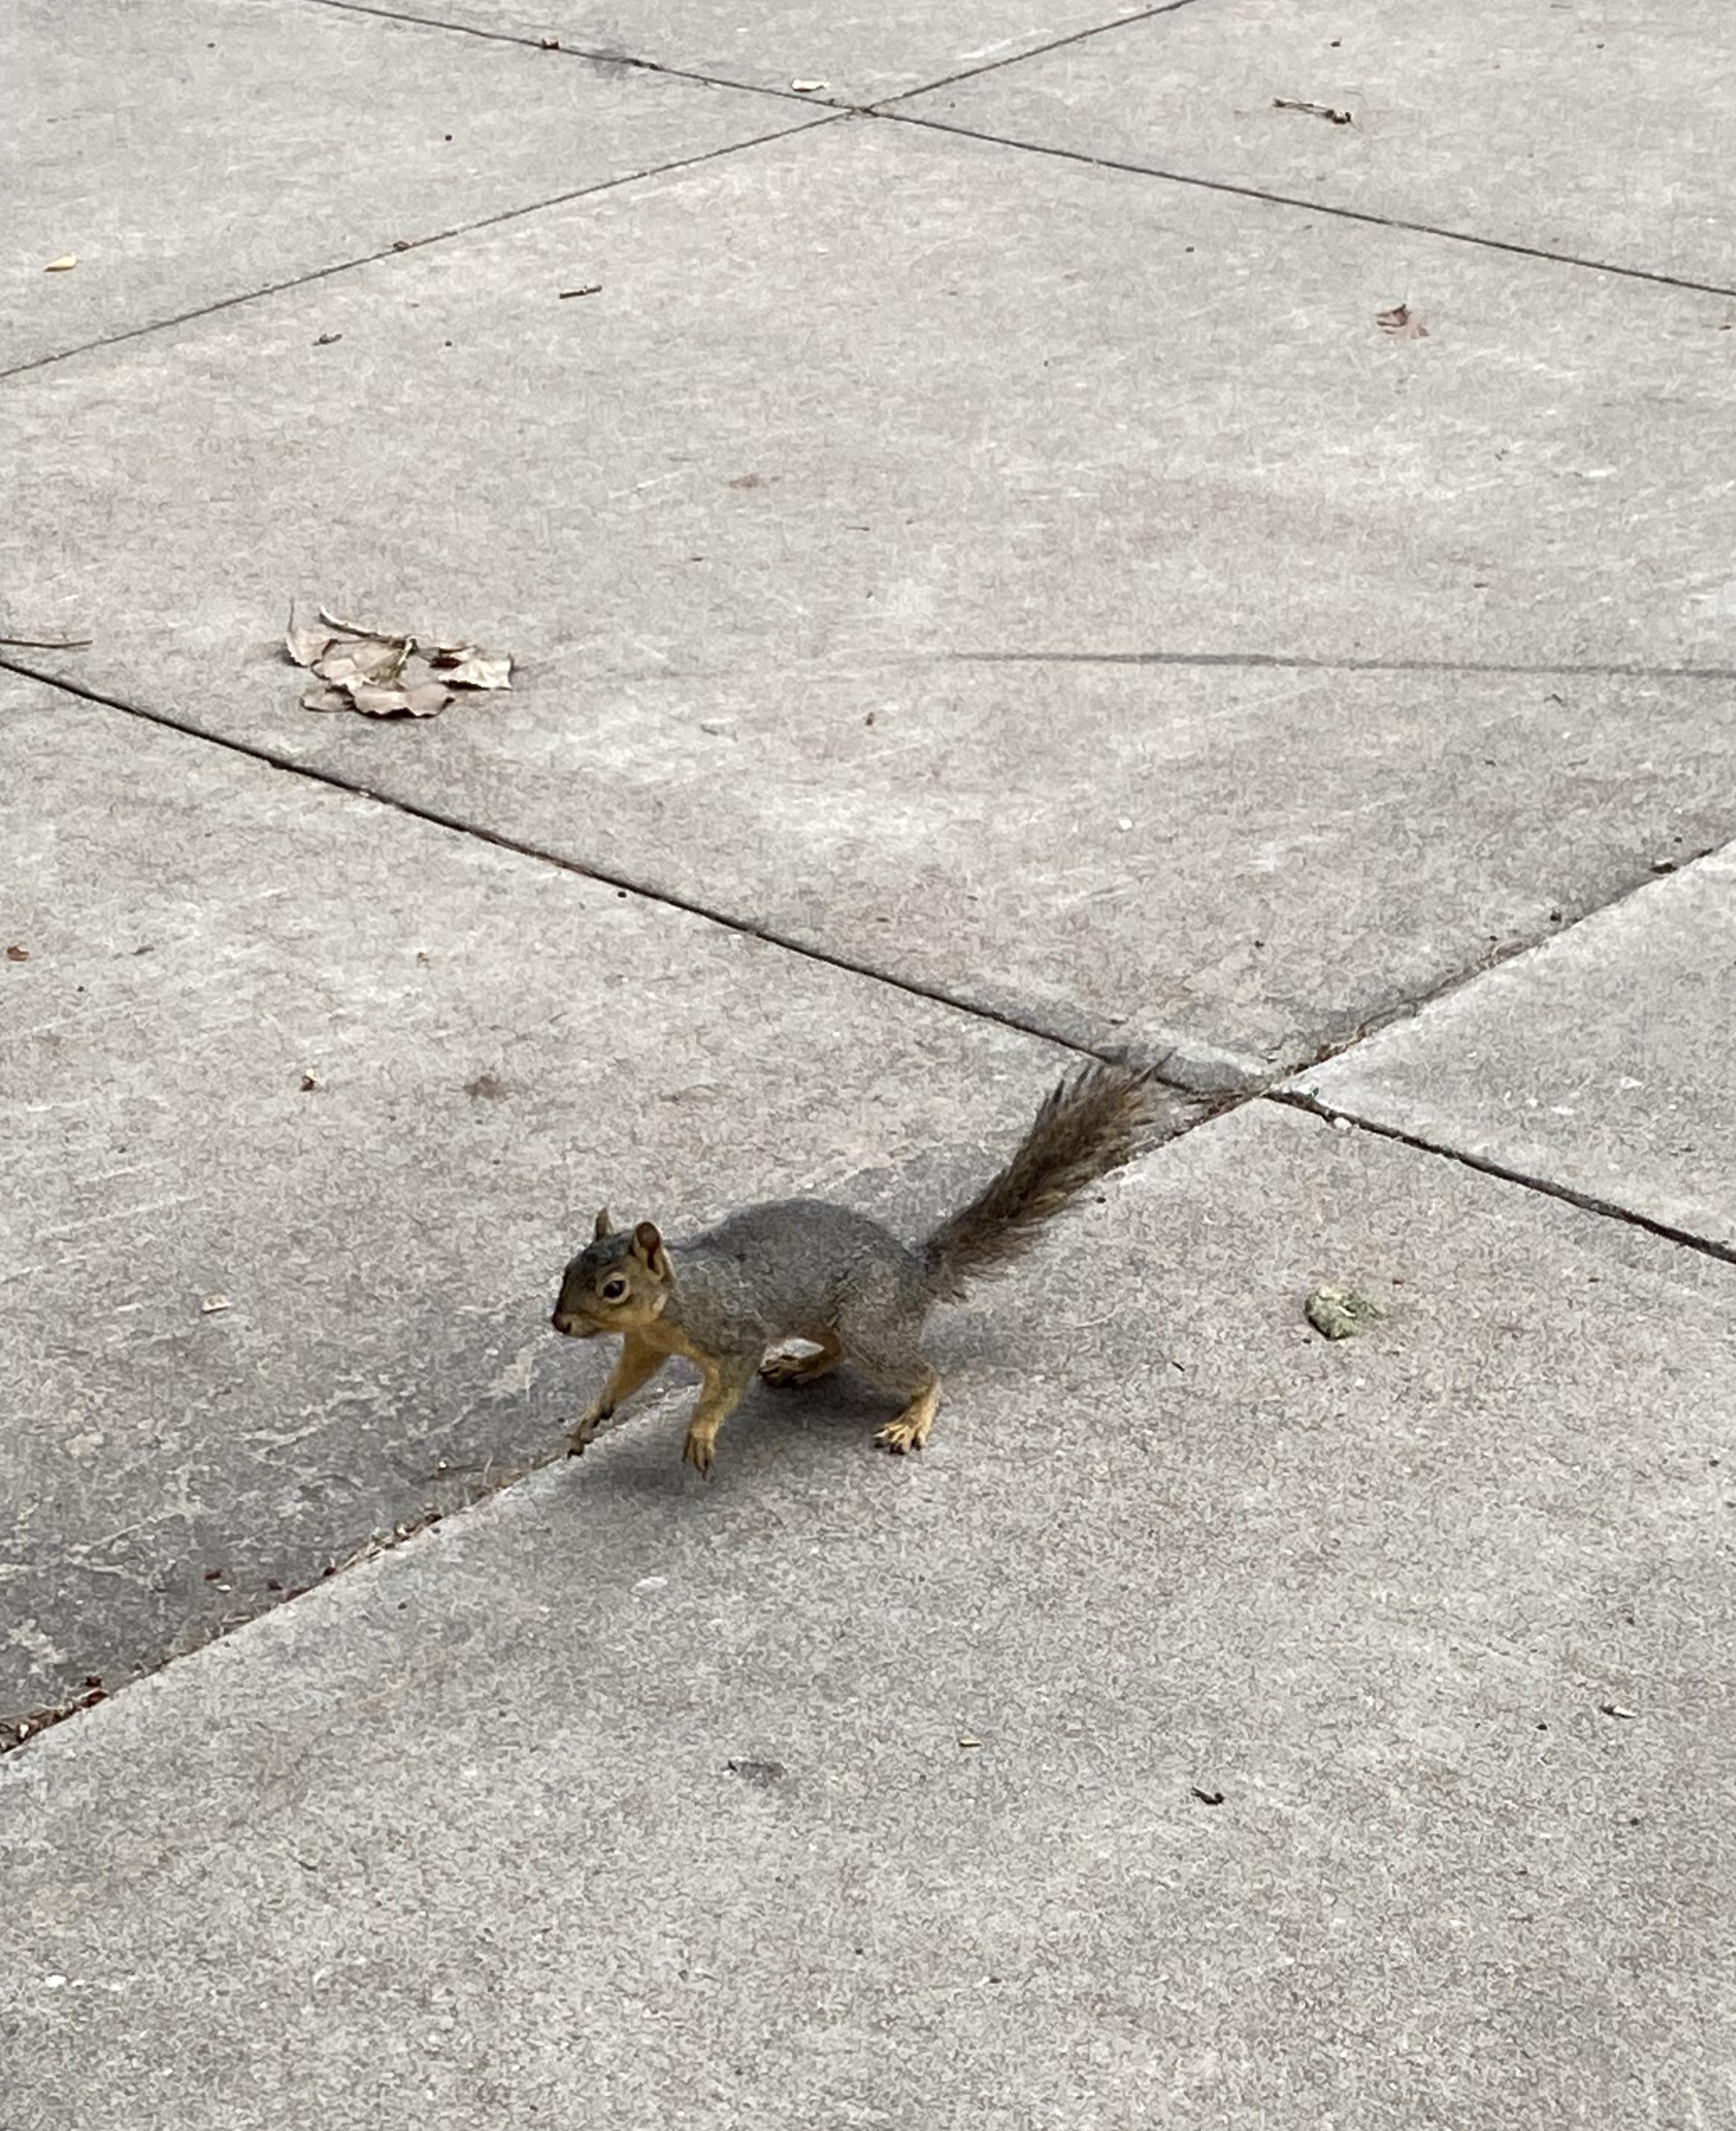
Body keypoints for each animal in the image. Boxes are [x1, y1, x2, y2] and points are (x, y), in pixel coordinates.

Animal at [551, 1061, 1172, 1475]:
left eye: (613, 1287)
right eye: (566, 1271)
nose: (559, 1323)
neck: (674, 1301)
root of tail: (915, 1271)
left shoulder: (733, 1334)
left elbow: (724, 1386)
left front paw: (701, 1429)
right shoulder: (647, 1344)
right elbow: (626, 1378)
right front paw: (591, 1414)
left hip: (870, 1324)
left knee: (921, 1373)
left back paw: (913, 1415)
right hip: (835, 1320)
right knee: (839, 1350)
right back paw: (802, 1365)